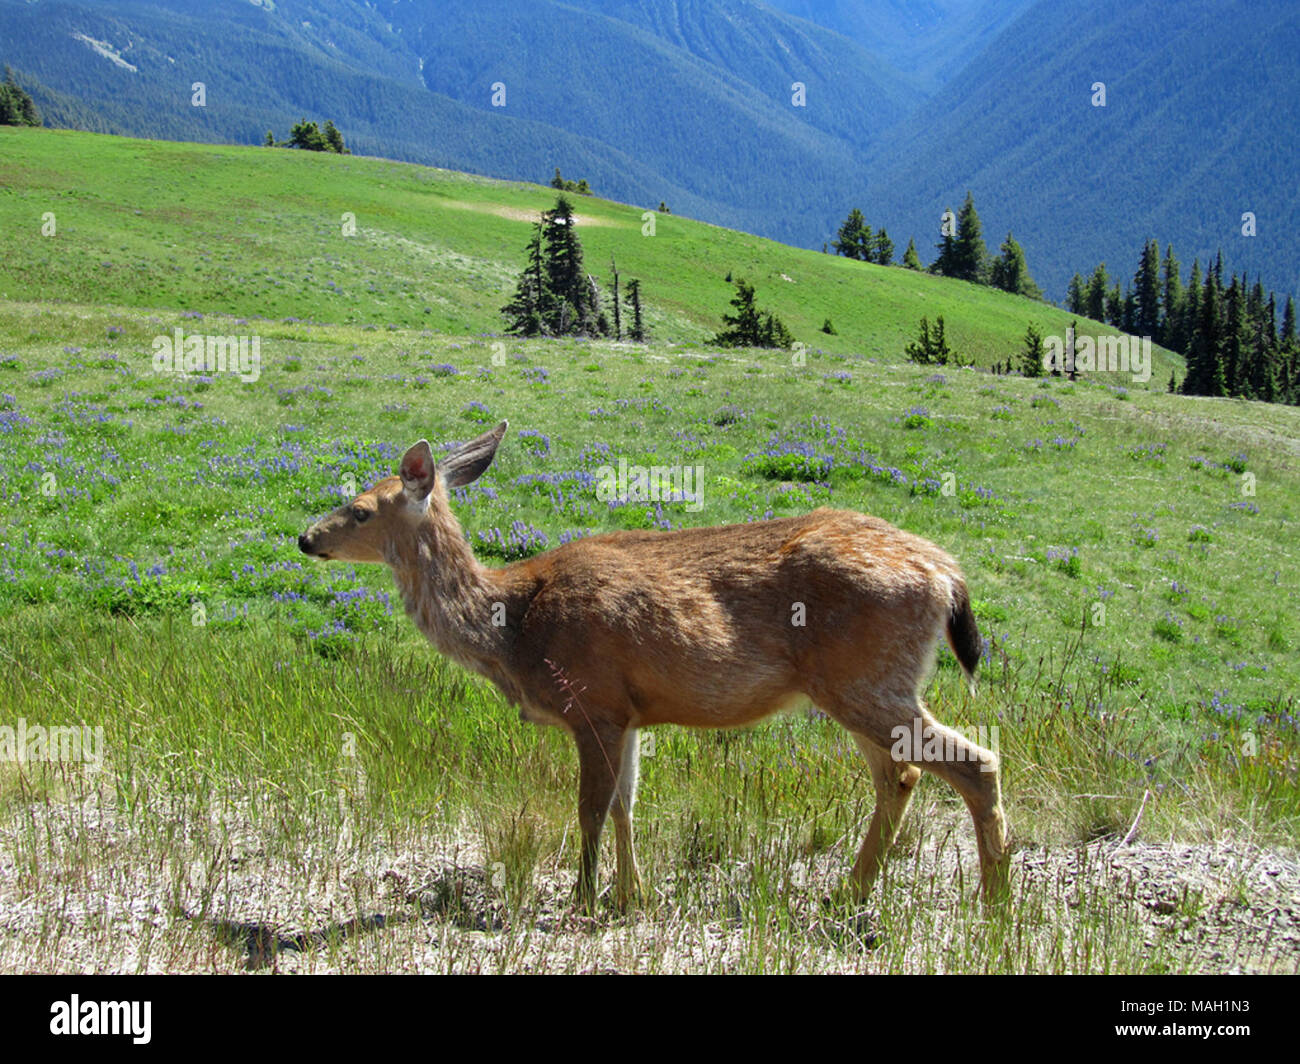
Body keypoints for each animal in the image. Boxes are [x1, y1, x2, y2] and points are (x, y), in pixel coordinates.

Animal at [298, 421, 1009, 912]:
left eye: (360, 509)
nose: (306, 538)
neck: (513, 627)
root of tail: (947, 573)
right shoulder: (629, 714)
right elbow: (625, 805)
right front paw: (631, 896)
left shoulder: (593, 701)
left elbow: (590, 807)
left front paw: (582, 901)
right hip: (862, 686)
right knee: (900, 773)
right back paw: (850, 892)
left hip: (865, 677)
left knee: (973, 762)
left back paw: (993, 905)